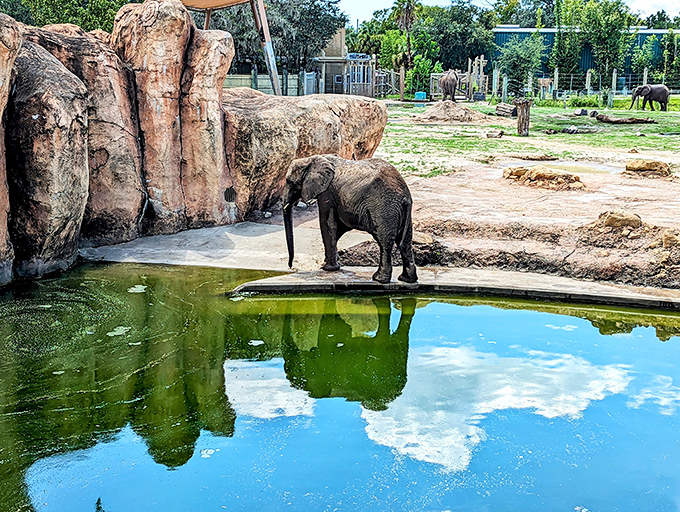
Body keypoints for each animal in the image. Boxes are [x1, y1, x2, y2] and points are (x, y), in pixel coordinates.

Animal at [282, 154, 418, 284]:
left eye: (289, 181)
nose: (290, 266)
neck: (311, 158)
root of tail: (405, 196)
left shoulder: (327, 193)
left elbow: (328, 225)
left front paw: (328, 268)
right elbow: (338, 228)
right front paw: (327, 264)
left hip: (384, 208)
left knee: (385, 243)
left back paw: (379, 279)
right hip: (400, 212)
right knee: (406, 242)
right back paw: (406, 279)